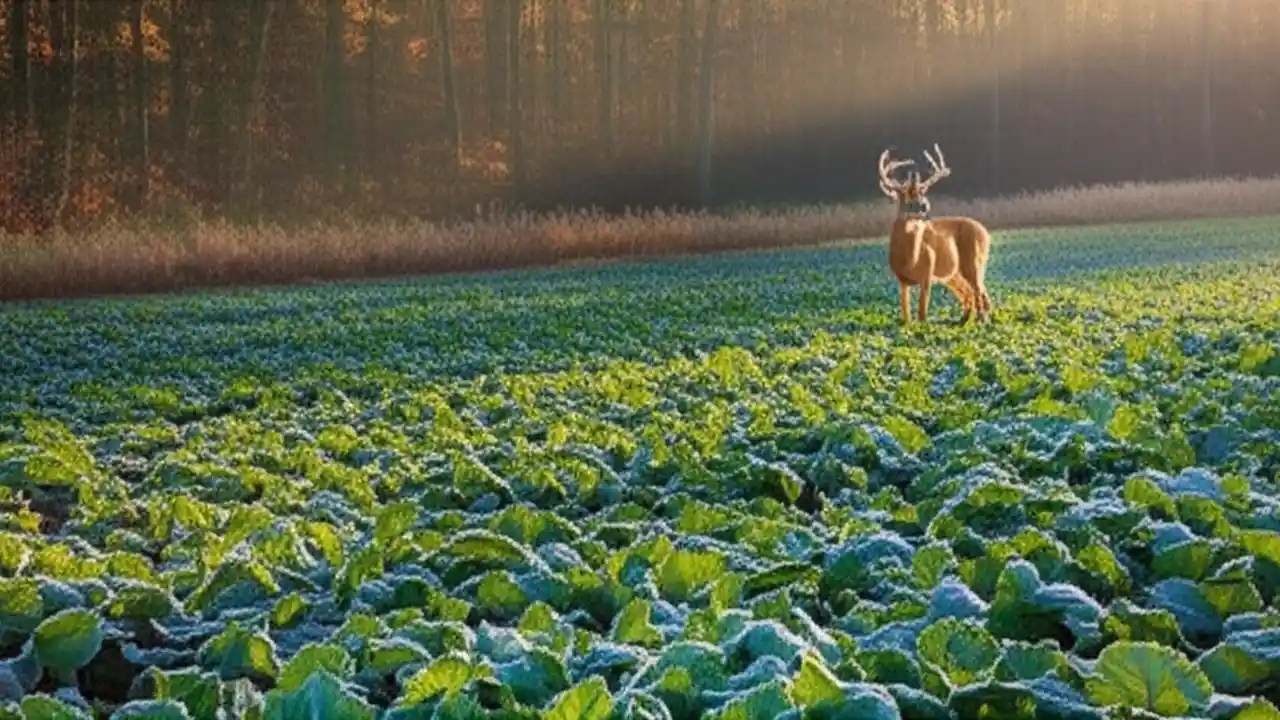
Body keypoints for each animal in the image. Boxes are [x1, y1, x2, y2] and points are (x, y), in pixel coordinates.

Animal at [878, 144, 993, 325]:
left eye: (922, 192)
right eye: (904, 195)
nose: (924, 205)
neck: (909, 260)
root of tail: (985, 232)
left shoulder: (927, 272)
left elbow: (922, 314)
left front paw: (922, 327)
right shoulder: (901, 279)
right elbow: (906, 315)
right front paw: (906, 325)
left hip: (974, 261)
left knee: (978, 290)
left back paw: (982, 320)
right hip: (953, 274)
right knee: (970, 292)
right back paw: (965, 319)